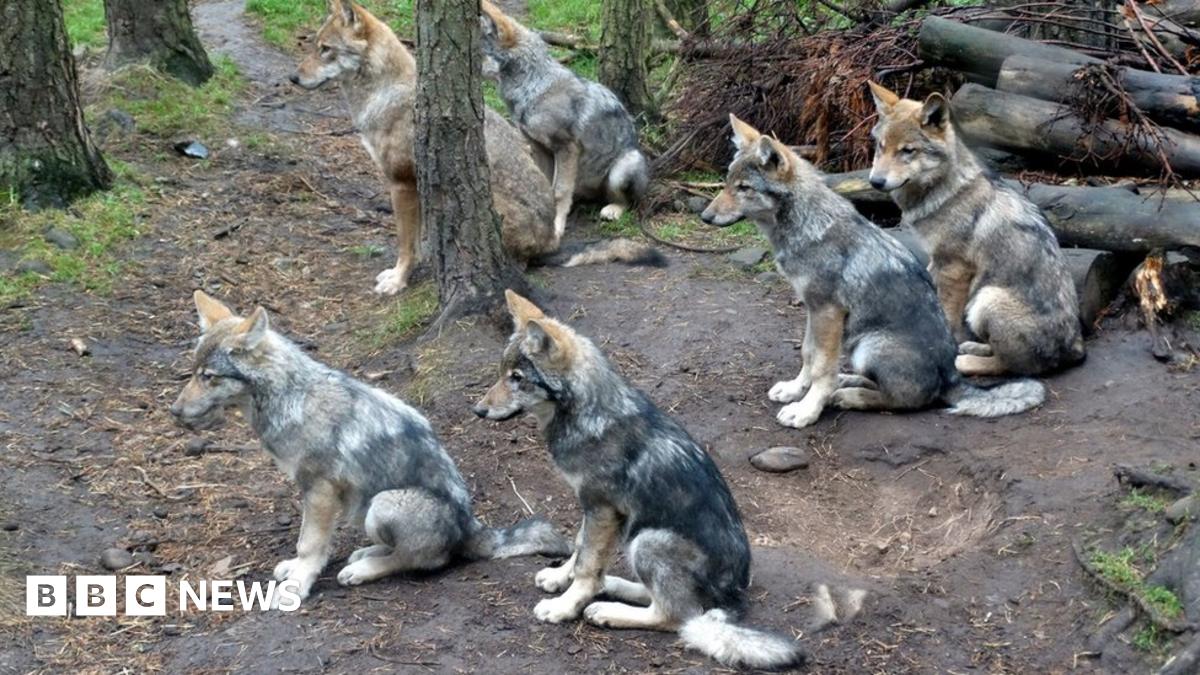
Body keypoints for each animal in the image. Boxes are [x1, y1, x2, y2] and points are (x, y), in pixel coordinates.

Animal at [170, 290, 569, 604]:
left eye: (209, 377)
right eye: (192, 373)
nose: (174, 411)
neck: (291, 397)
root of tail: (471, 528)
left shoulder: (319, 491)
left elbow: (308, 544)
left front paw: (298, 585)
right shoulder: (315, 493)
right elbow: (309, 543)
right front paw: (296, 570)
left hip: (382, 504)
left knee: (422, 560)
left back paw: (363, 569)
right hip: (364, 507)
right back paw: (364, 553)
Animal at [471, 290, 806, 670]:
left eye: (517, 378)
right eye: (502, 374)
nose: (478, 410)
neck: (590, 415)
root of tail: (734, 597)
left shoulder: (601, 508)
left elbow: (586, 565)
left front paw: (564, 607)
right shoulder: (594, 509)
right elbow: (580, 548)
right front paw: (559, 578)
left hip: (646, 540)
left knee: (675, 616)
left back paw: (607, 611)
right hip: (635, 536)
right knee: (655, 596)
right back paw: (613, 586)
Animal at [478, 0, 650, 237]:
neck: (534, 87)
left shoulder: (566, 147)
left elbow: (558, 191)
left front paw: (556, 227)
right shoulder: (538, 146)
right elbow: (546, 185)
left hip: (622, 169)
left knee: (627, 201)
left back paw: (613, 210)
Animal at [701, 115, 1045, 429]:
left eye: (743, 188)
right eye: (727, 183)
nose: (704, 216)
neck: (804, 227)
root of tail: (951, 378)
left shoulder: (828, 311)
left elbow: (821, 368)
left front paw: (807, 410)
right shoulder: (813, 309)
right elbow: (809, 355)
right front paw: (795, 390)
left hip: (869, 346)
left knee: (902, 400)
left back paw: (848, 395)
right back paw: (848, 383)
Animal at [867, 81, 1085, 376]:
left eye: (907, 151)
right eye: (881, 147)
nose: (875, 182)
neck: (944, 192)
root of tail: (1074, 348)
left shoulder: (954, 269)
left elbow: (948, 316)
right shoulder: (937, 261)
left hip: (986, 298)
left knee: (1008, 365)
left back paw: (966, 361)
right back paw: (973, 347)